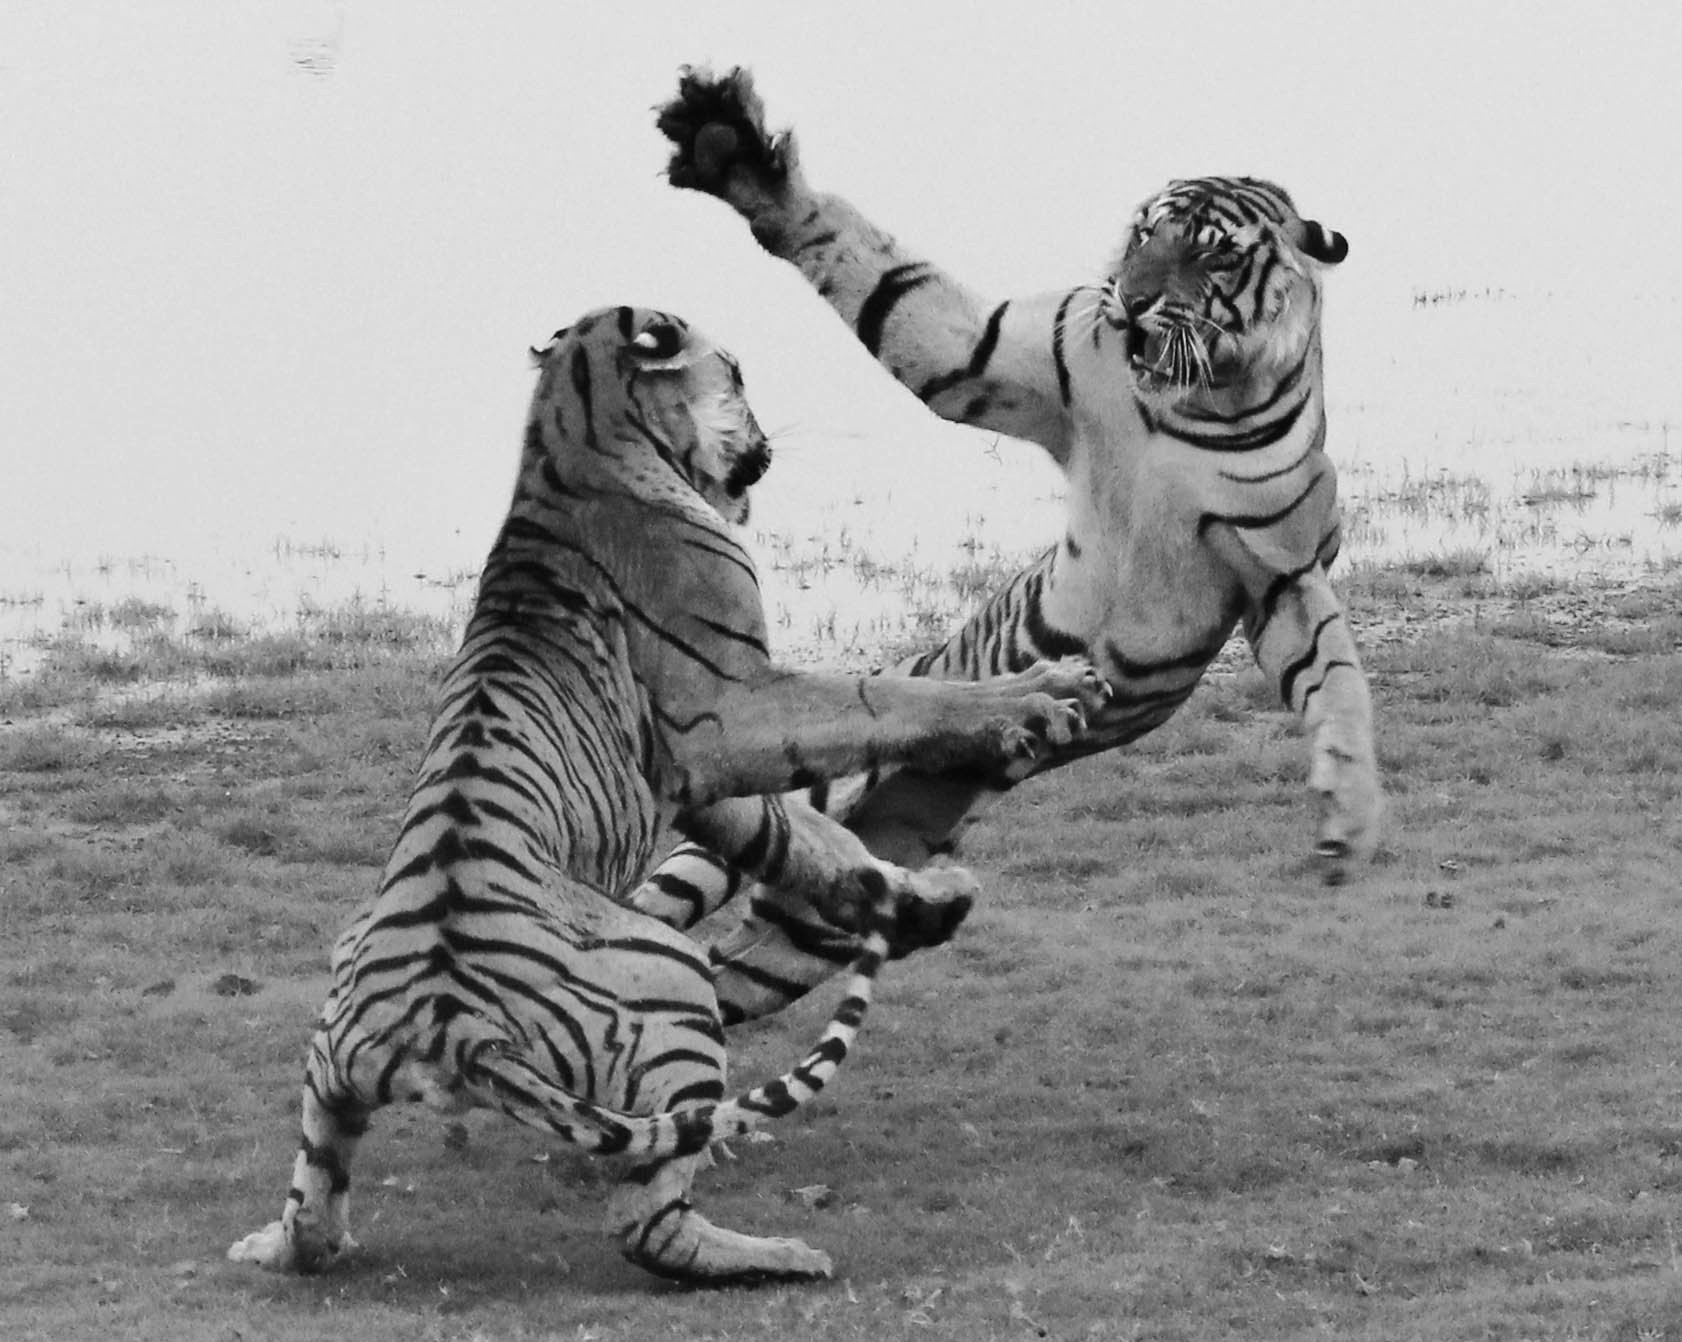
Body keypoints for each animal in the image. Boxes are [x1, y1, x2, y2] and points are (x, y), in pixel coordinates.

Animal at [225, 305, 1108, 1285]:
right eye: (741, 374)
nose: (767, 443)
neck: (565, 440)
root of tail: (448, 1027)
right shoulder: (732, 709)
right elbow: (889, 701)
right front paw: (1041, 694)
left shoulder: (700, 772)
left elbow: (810, 844)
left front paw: (922, 899)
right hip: (670, 974)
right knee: (650, 1221)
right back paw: (781, 1252)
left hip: (330, 1055)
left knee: (314, 1208)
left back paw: (271, 1243)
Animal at [632, 66, 1384, 1026]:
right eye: (1147, 233)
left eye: (1212, 254)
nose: (1133, 299)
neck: (1191, 399)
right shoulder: (988, 356)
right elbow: (874, 269)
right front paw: (731, 148)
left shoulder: (1279, 574)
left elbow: (1338, 680)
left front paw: (1349, 818)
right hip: (767, 794)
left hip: (811, 926)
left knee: (724, 972)